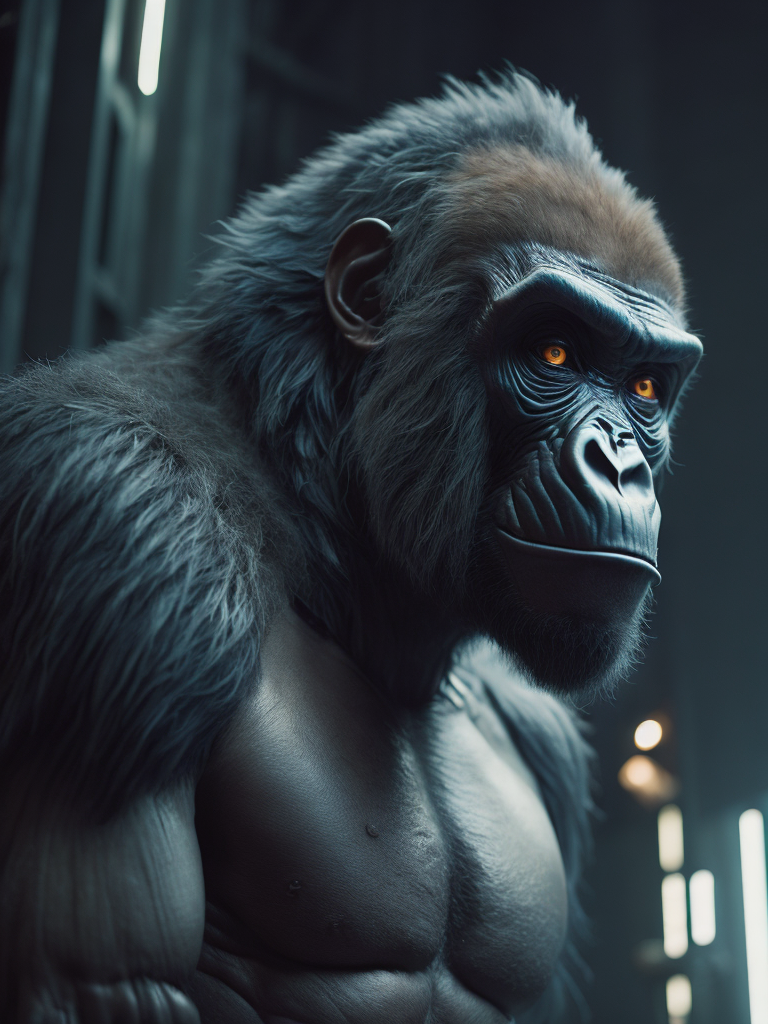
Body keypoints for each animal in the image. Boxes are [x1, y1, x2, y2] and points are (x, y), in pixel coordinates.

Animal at [0, 72, 701, 1023]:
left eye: (645, 389)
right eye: (555, 351)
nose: (623, 462)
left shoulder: (543, 735)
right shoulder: (115, 522)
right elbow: (101, 989)